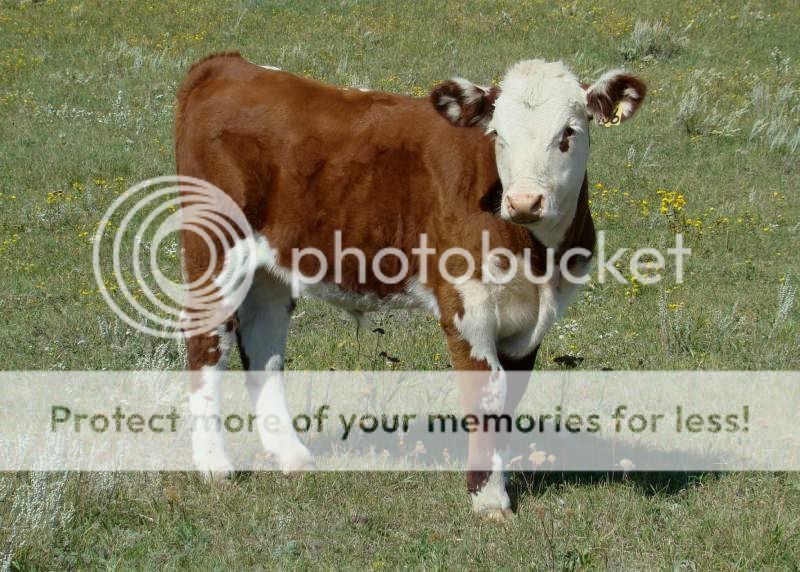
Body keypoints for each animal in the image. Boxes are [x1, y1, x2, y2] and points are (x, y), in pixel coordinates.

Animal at [175, 52, 646, 520]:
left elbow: (511, 397)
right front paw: (489, 498)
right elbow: (486, 394)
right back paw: (214, 464)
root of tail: (227, 64)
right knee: (207, 345)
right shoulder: (467, 307)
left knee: (264, 349)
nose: (524, 201)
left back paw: (292, 457)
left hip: (271, 267)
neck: (537, 256)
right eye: (497, 134)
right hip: (213, 250)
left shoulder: (531, 322)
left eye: (569, 132)